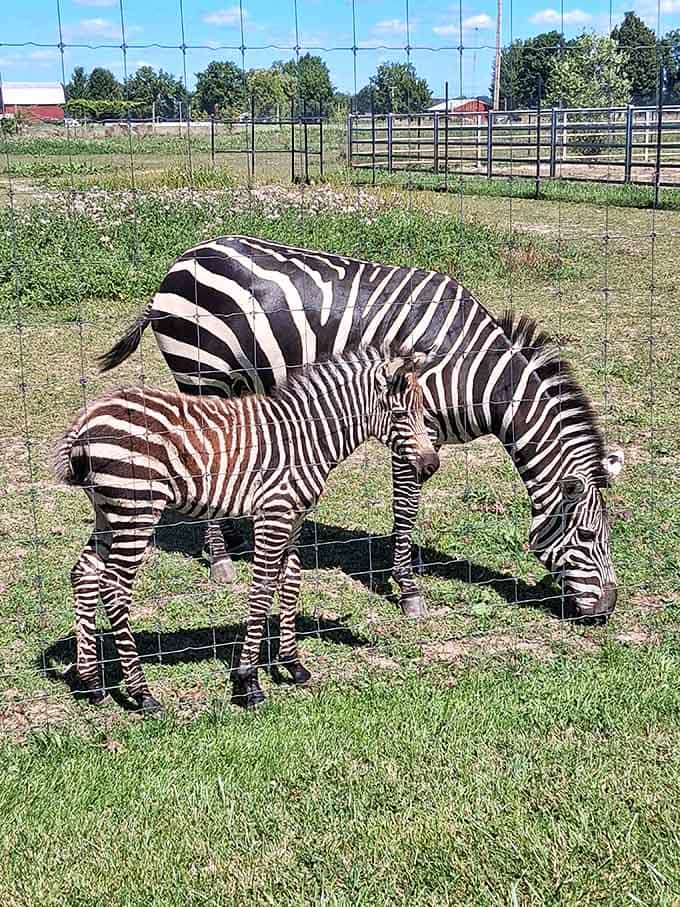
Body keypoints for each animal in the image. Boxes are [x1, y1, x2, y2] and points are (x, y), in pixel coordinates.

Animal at [55, 349, 439, 713]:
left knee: (84, 573)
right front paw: (248, 682)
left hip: (109, 513)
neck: (307, 438)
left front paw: (293, 665)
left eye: (424, 412)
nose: (431, 466)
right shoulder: (274, 514)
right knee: (114, 586)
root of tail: (85, 420)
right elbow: (263, 589)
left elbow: (291, 582)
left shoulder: (295, 518)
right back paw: (142, 694)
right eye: (401, 415)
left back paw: (92, 684)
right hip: (136, 511)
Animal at [100, 235, 625, 621]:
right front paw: (408, 589)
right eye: (586, 537)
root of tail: (184, 257)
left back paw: (231, 537)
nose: (607, 608)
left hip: (229, 382)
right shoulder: (412, 427)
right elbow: (405, 509)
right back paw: (222, 562)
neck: (472, 370)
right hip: (200, 375)